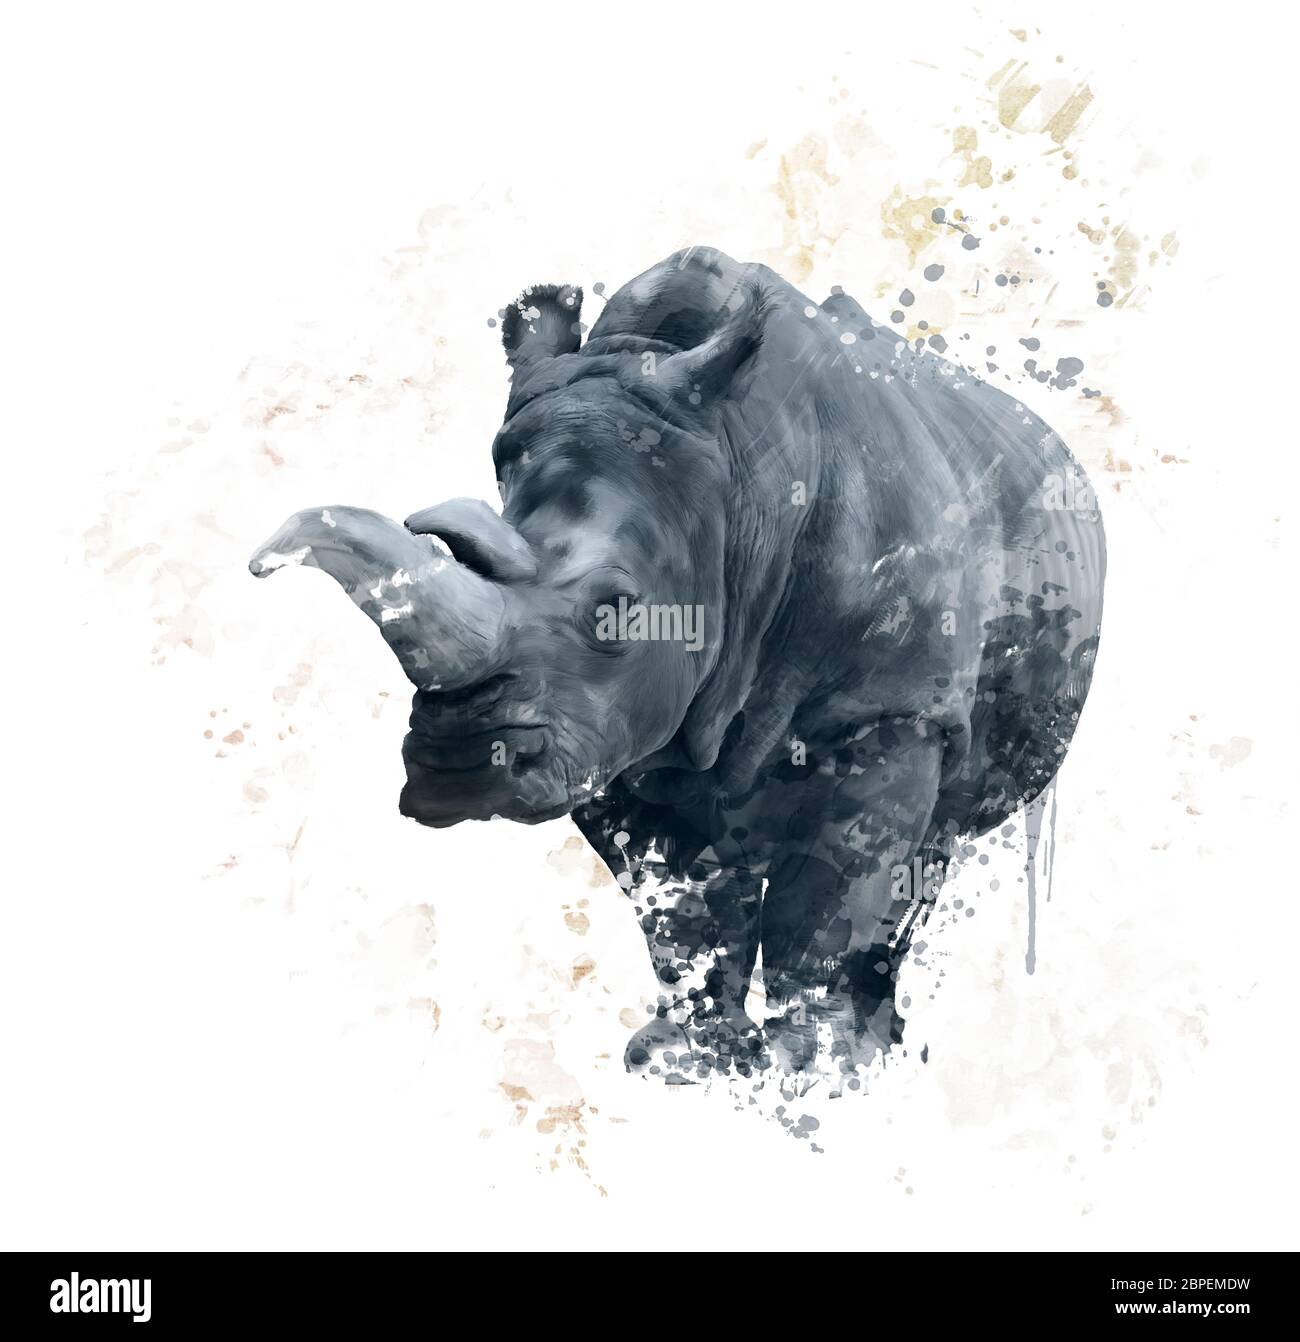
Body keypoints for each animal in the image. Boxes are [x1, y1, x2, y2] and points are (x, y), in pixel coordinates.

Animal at [251, 246, 1105, 1083]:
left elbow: (825, 908)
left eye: (618, 610)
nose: (455, 765)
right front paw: (683, 1066)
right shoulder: (619, 738)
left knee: (932, 845)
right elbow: (679, 913)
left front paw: (816, 1076)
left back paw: (880, 1051)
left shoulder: (890, 710)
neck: (737, 487)